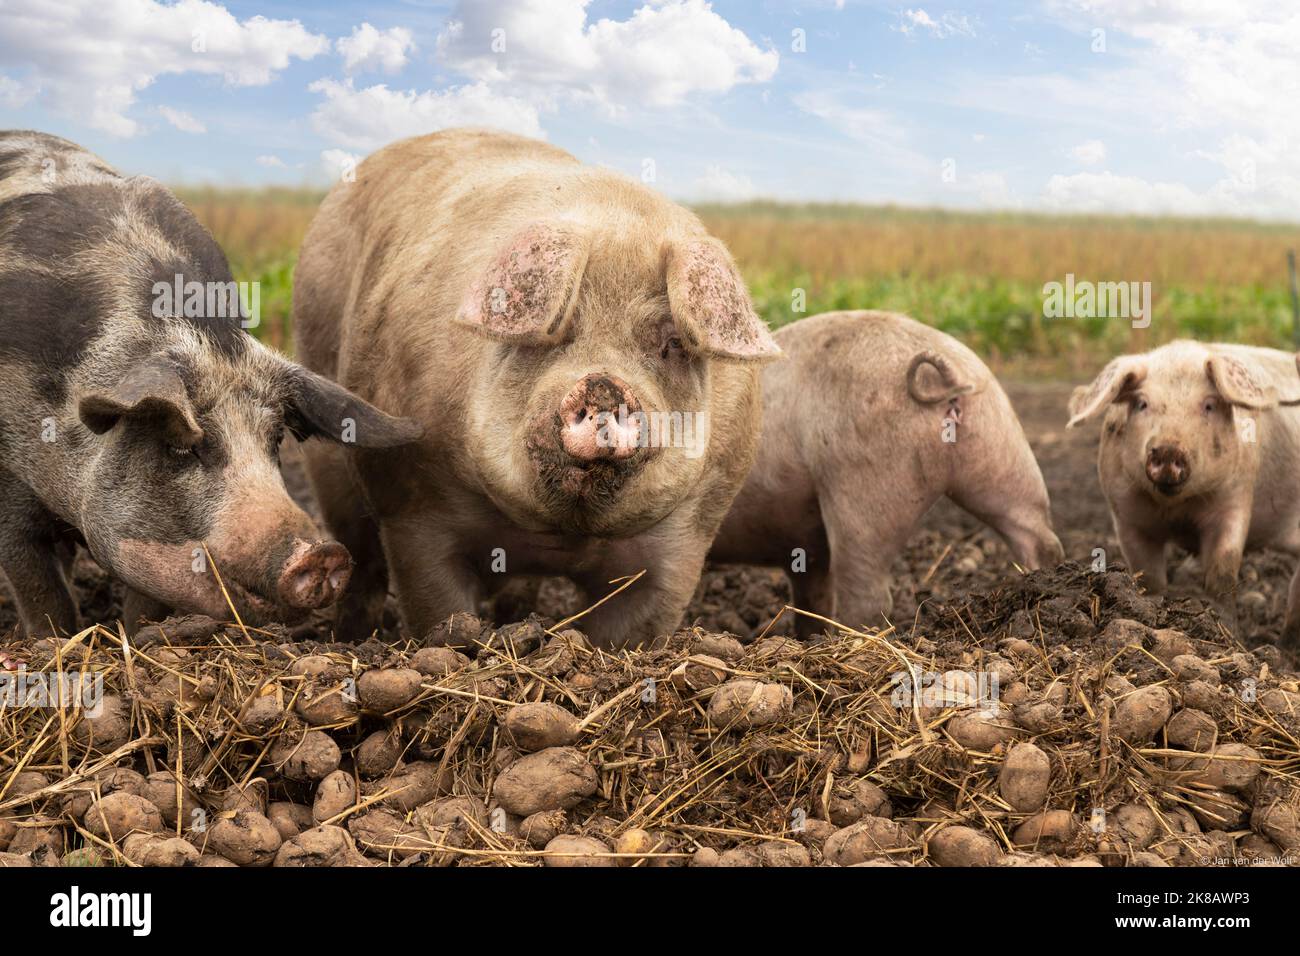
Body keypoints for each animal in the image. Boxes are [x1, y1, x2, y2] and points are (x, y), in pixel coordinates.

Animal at [0, 131, 420, 637]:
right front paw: (53, 640)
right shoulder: (10, 486)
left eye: (275, 440)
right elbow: (39, 588)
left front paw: (141, 637)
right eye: (183, 447)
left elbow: (146, 601)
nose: (321, 554)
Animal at [293, 128, 779, 648]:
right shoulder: (412, 508)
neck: (565, 531)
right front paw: (459, 643)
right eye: (555, 330)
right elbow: (438, 610)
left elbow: (634, 628)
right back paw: (350, 638)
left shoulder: (690, 532)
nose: (603, 386)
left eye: (670, 343)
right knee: (359, 559)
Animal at [709, 310, 1064, 638]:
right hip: (1001, 444)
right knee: (1038, 535)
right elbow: (811, 590)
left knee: (867, 594)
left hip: (862, 487)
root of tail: (946, 374)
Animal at [1066, 339, 1300, 647]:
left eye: (1209, 405)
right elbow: (1148, 575)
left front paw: (1229, 634)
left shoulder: (1235, 500)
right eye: (1142, 404)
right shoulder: (1126, 516)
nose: (1168, 450)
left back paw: (1283, 650)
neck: (1178, 508)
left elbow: (1222, 573)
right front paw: (1149, 608)